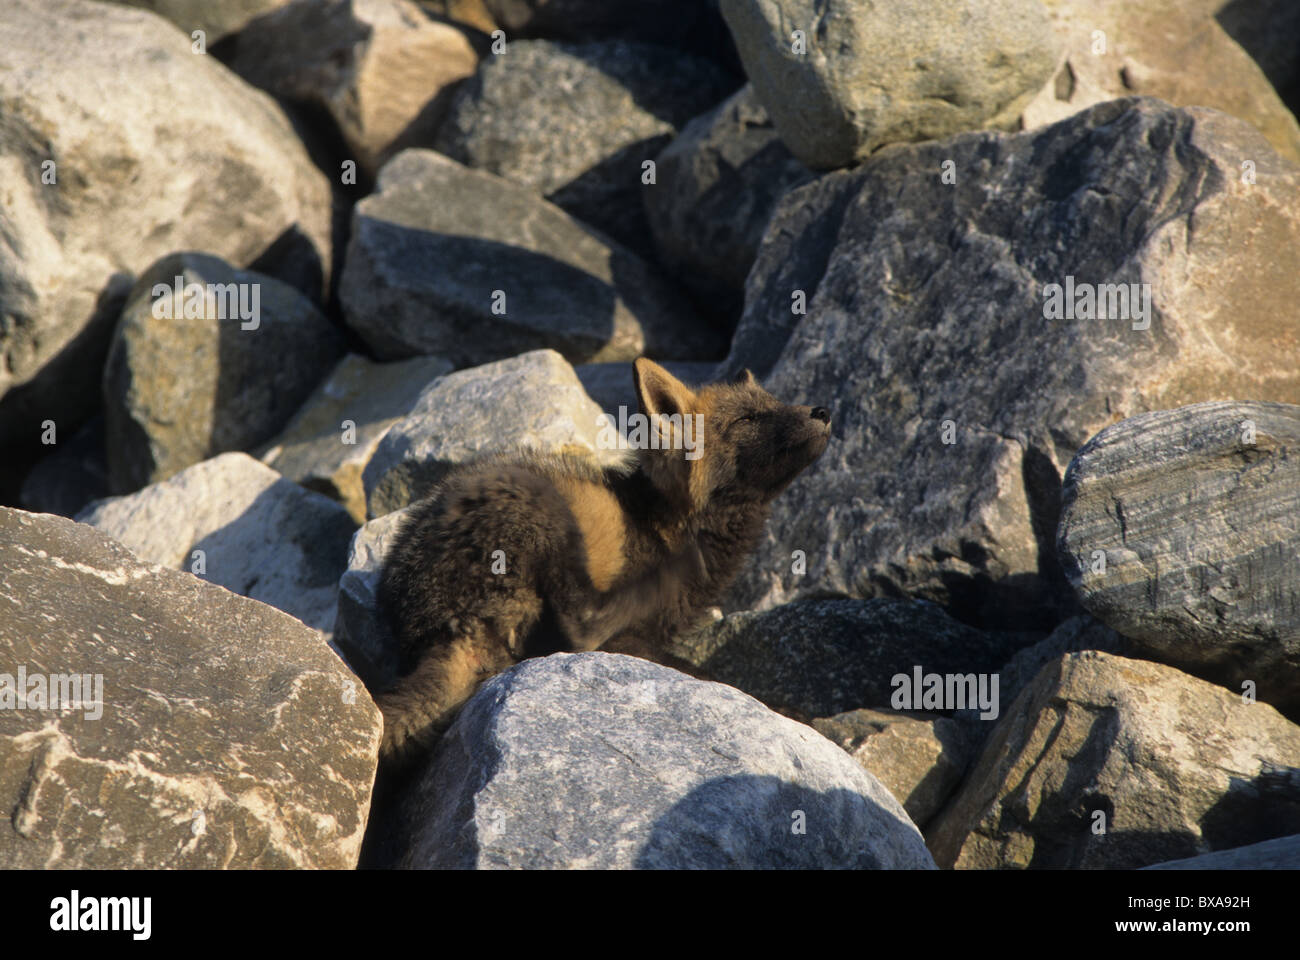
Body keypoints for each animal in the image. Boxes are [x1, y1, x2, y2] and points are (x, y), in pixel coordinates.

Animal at [375, 357, 831, 766]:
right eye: (748, 419)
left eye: (776, 402)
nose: (823, 411)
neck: (666, 523)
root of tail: (437, 624)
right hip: (545, 507)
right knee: (584, 628)